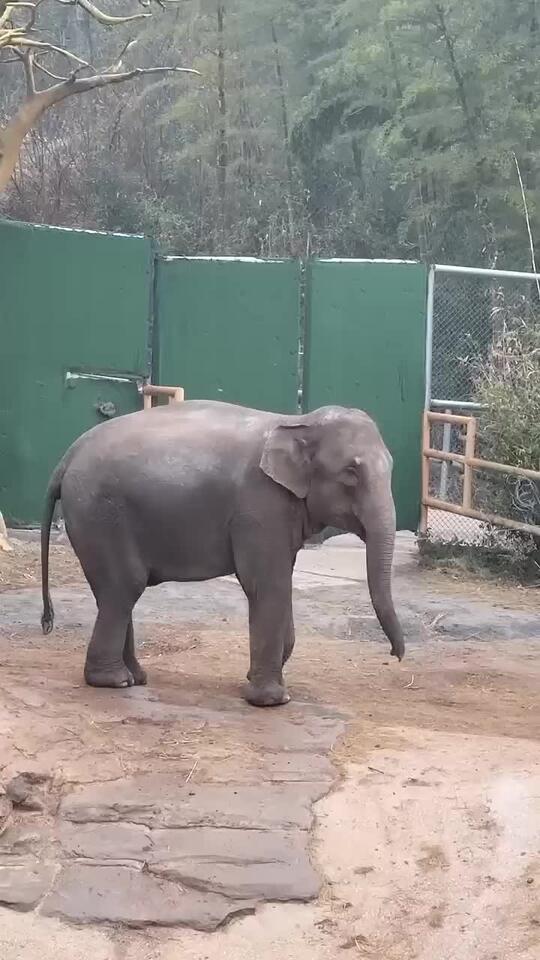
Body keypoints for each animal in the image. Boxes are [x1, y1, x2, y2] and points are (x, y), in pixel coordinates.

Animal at [41, 400, 405, 706]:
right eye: (351, 473)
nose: (395, 656)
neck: (297, 422)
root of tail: (66, 458)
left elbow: (280, 580)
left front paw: (264, 680)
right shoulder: (260, 506)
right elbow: (267, 584)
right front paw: (272, 700)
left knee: (114, 593)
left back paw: (136, 678)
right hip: (100, 513)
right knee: (124, 587)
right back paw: (114, 681)